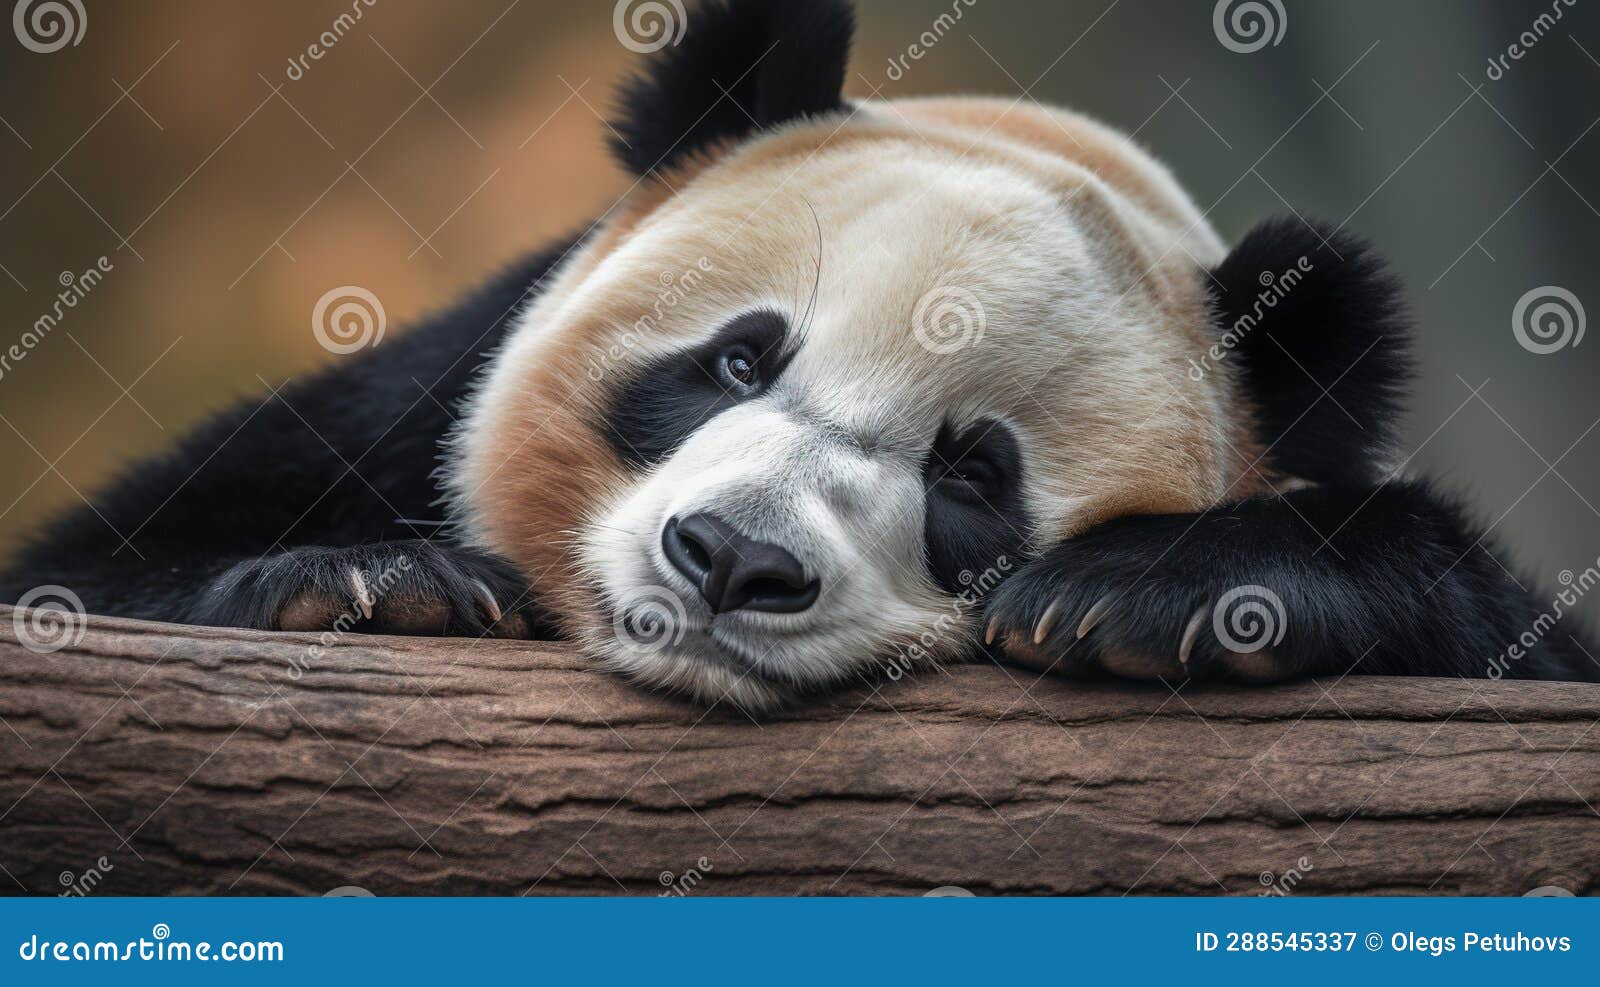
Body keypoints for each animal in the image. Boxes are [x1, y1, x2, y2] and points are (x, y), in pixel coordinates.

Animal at [3, 0, 1595, 712]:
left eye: (972, 475)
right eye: (736, 363)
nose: (730, 562)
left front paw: (1155, 595)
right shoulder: (406, 399)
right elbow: (87, 570)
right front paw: (381, 586)